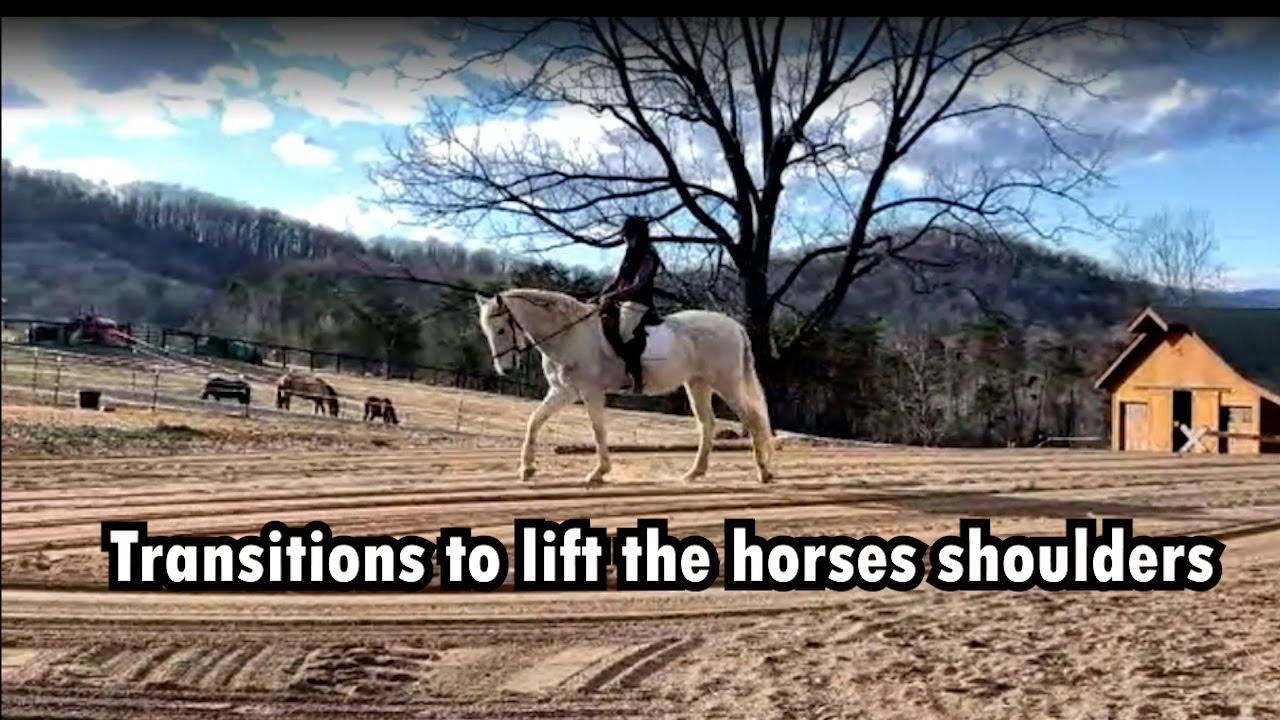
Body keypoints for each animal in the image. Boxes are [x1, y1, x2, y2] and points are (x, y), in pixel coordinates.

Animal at [475, 288, 774, 485]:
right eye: (487, 332)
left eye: (501, 330)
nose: (505, 369)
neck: (571, 334)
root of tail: (734, 326)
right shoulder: (563, 391)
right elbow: (534, 421)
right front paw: (526, 469)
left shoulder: (590, 391)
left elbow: (598, 429)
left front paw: (598, 473)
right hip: (698, 383)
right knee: (707, 424)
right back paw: (694, 473)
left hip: (726, 383)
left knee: (752, 419)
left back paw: (764, 473)